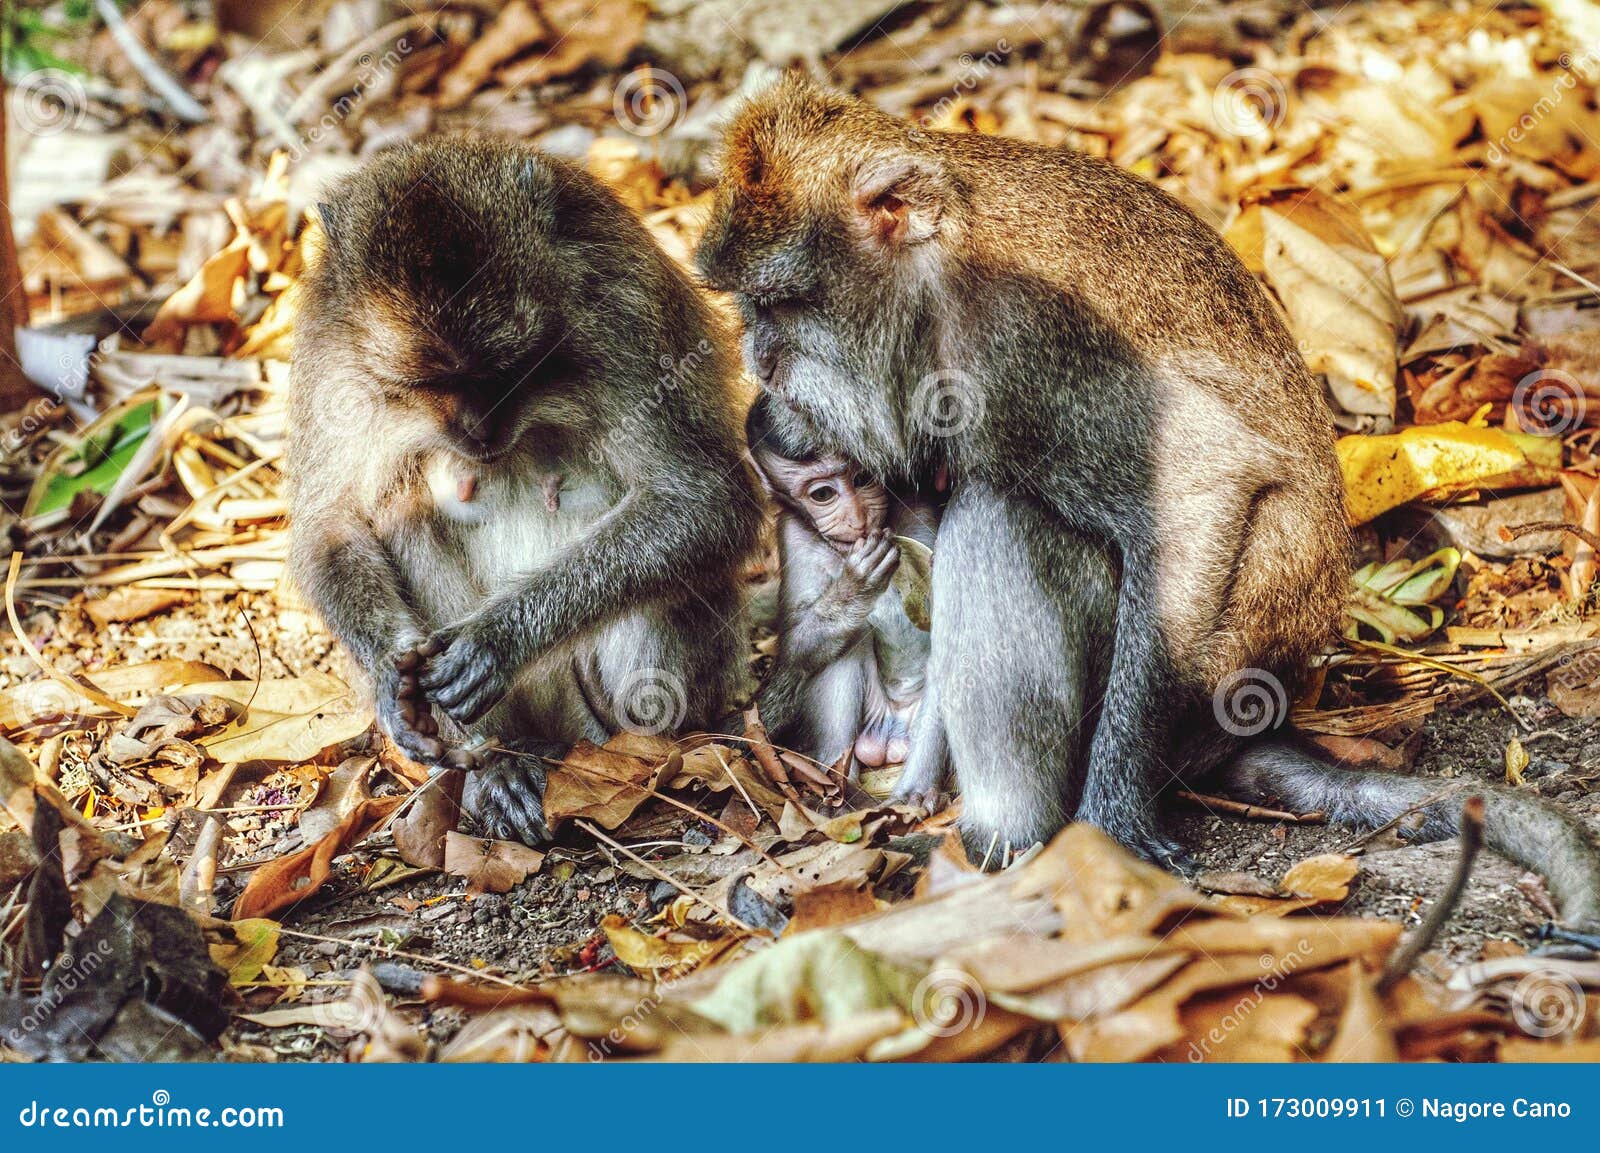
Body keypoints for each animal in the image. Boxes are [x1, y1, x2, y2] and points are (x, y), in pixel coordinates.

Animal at [288, 137, 762, 846]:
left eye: (504, 369)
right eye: (429, 381)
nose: (478, 430)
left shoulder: (624, 316)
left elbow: (704, 498)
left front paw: (499, 639)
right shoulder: (330, 352)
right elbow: (331, 526)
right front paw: (393, 678)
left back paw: (631, 758)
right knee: (400, 499)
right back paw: (496, 763)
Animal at [744, 392, 945, 788]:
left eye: (863, 477)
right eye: (823, 494)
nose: (857, 518)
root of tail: (892, 733)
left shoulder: (918, 507)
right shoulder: (792, 533)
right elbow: (795, 643)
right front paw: (852, 592)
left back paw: (917, 787)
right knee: (841, 649)